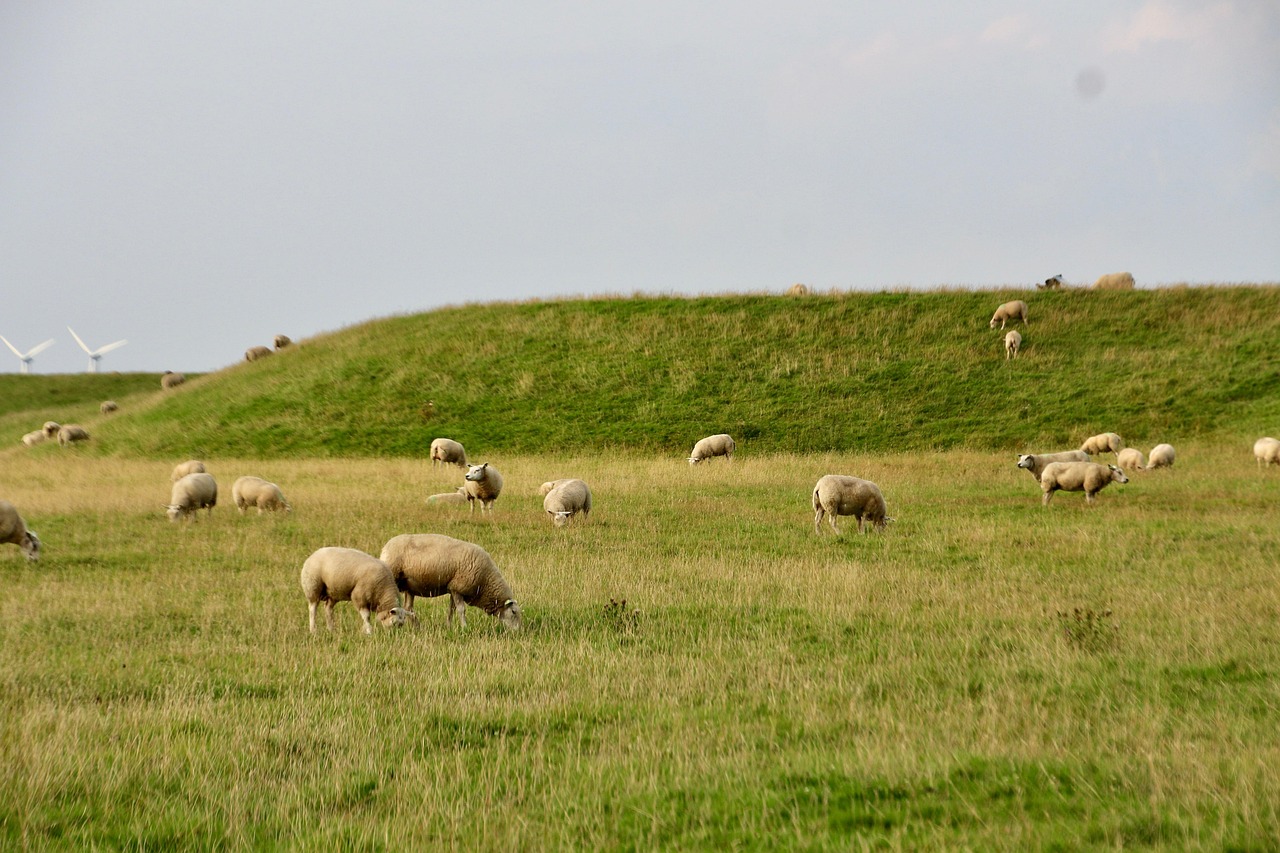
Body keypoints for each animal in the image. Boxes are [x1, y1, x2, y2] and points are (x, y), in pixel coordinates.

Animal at [378, 533, 521, 630]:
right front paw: (464, 627)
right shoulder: (458, 587)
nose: (518, 631)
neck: (486, 581)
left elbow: (451, 610)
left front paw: (449, 626)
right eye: (513, 612)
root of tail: (385, 547)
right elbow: (461, 610)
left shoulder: (453, 588)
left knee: (408, 607)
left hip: (409, 586)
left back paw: (418, 627)